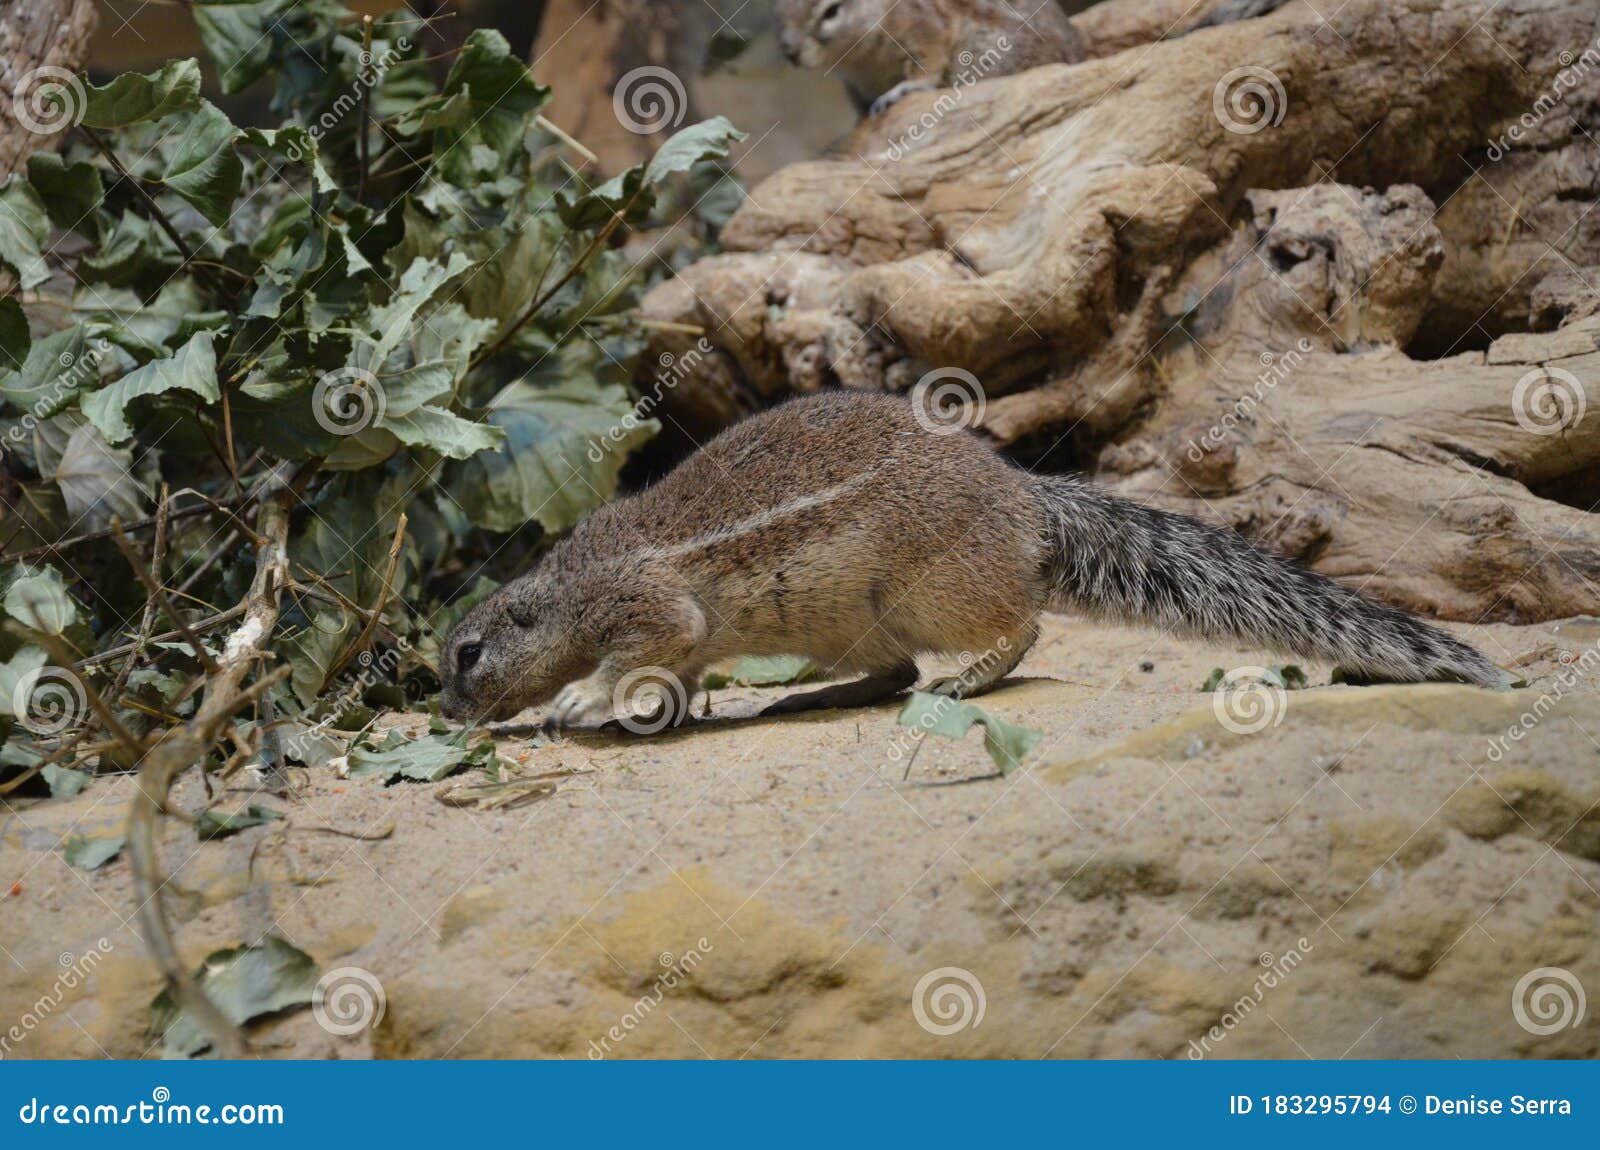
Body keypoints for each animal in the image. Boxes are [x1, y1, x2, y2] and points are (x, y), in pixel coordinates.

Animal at [438, 392, 1502, 730]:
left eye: (465, 655)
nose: (447, 715)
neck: (564, 588)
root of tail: (1023, 496)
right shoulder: (685, 644)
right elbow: (677, 677)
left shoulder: (646, 607)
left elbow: (646, 650)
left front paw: (583, 701)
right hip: (855, 619)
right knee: (890, 670)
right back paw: (810, 695)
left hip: (934, 590)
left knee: (1014, 629)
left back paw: (965, 683)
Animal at [774, 0, 1086, 117]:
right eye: (779, 8)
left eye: (831, 11)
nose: (790, 52)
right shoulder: (854, 87)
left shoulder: (921, 26)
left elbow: (928, 61)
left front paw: (904, 89)